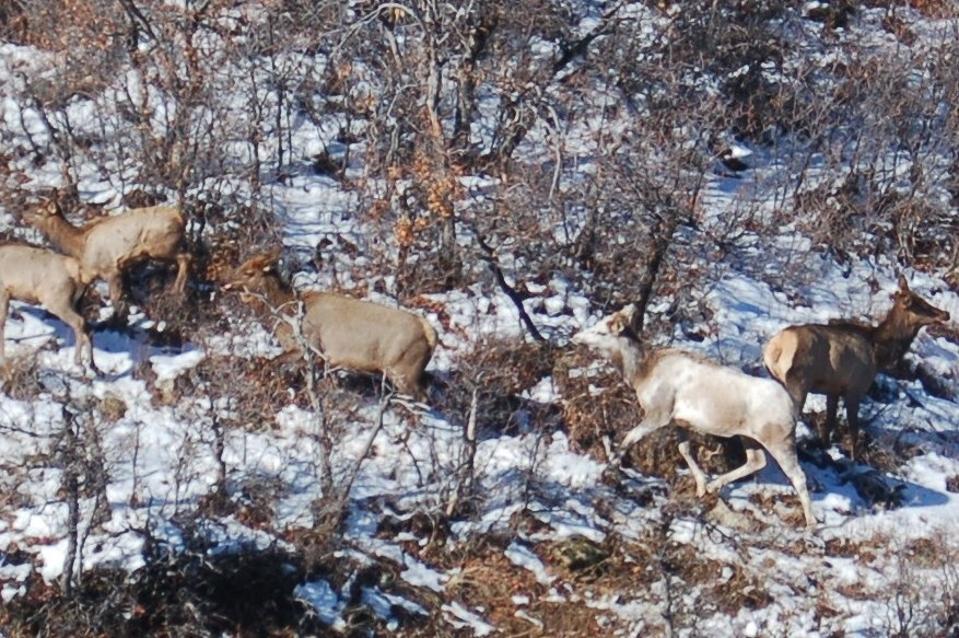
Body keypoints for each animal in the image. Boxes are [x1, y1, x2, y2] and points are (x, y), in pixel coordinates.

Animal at [0, 243, 97, 371]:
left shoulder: (3, 293)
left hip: (56, 299)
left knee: (79, 322)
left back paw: (78, 362)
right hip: (76, 302)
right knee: (88, 325)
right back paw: (92, 364)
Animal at [23, 198, 191, 316]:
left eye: (39, 211)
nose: (23, 212)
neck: (78, 245)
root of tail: (181, 218)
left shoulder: (111, 269)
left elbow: (115, 299)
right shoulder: (114, 270)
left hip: (160, 245)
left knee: (186, 257)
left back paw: (177, 291)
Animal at [224, 250, 437, 401]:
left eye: (249, 272)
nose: (224, 282)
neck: (286, 316)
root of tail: (430, 335)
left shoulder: (309, 346)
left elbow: (272, 362)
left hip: (402, 371)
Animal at [573, 304, 816, 529]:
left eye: (601, 331)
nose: (576, 337)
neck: (641, 375)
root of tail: (792, 407)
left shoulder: (659, 412)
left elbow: (630, 436)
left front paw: (609, 467)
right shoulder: (679, 421)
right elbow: (685, 449)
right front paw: (701, 485)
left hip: (780, 440)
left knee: (798, 476)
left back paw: (811, 522)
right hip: (749, 436)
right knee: (757, 461)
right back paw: (715, 485)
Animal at [763, 275, 950, 460]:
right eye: (921, 304)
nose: (946, 314)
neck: (879, 354)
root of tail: (775, 349)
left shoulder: (833, 389)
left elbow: (830, 421)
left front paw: (826, 448)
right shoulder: (855, 388)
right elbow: (854, 429)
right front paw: (854, 458)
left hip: (777, 379)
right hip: (799, 381)